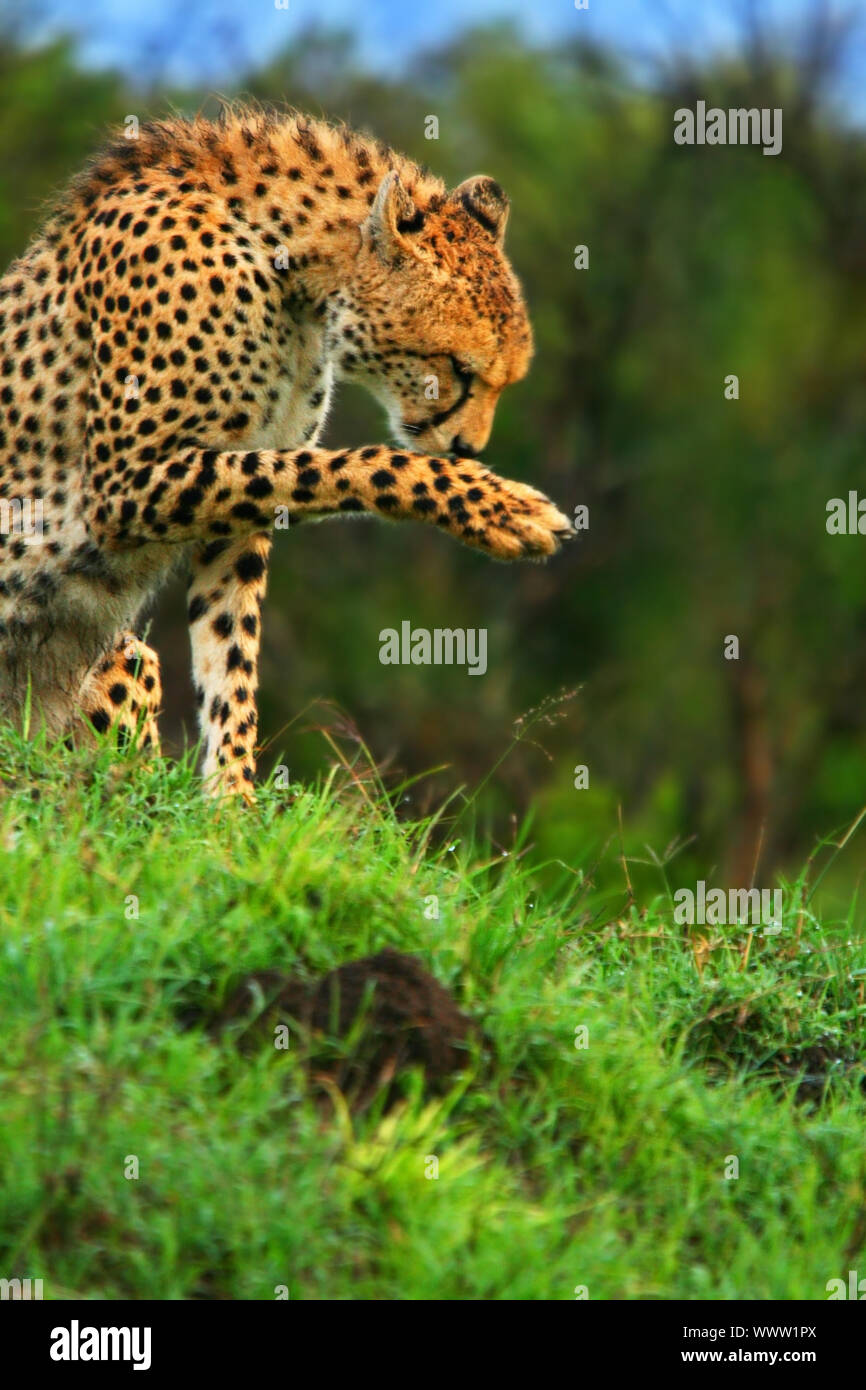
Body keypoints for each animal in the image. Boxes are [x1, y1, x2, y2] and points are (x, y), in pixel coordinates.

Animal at [0, 107, 572, 800]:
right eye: (459, 369)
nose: (466, 447)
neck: (292, 271)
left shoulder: (229, 509)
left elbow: (230, 650)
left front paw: (231, 802)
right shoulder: (126, 483)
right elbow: (363, 465)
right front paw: (502, 508)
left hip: (127, 659)